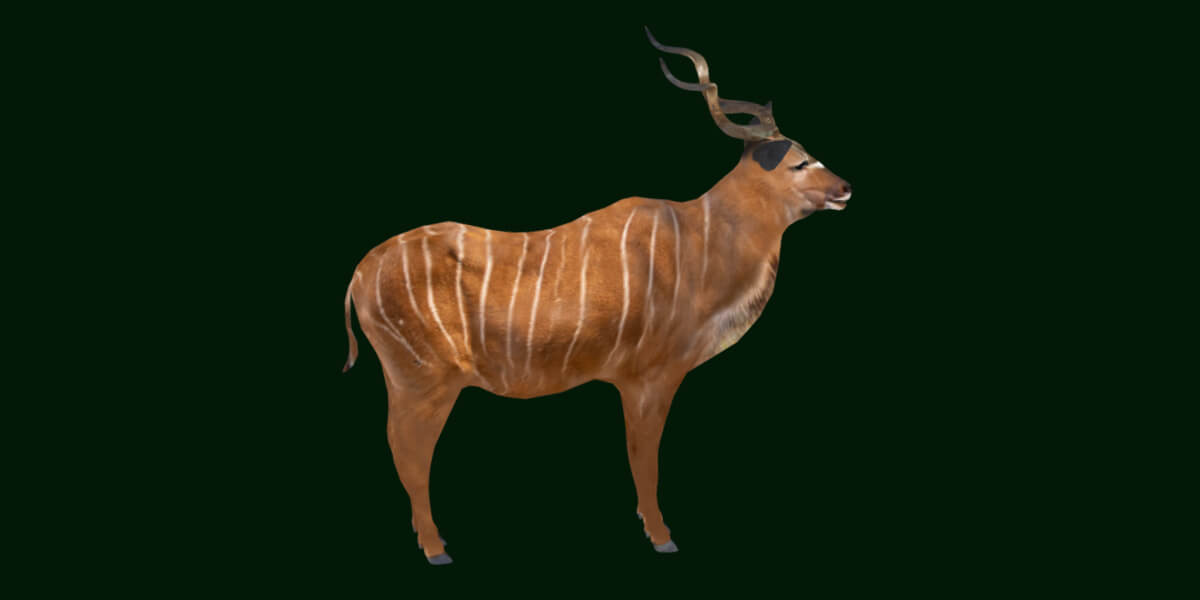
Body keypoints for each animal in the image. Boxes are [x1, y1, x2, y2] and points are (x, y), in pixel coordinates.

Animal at [341, 28, 851, 565]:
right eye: (800, 162)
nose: (846, 188)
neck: (702, 239)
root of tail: (359, 273)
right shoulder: (648, 378)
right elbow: (644, 458)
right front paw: (662, 537)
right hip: (423, 381)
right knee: (408, 452)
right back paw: (436, 548)